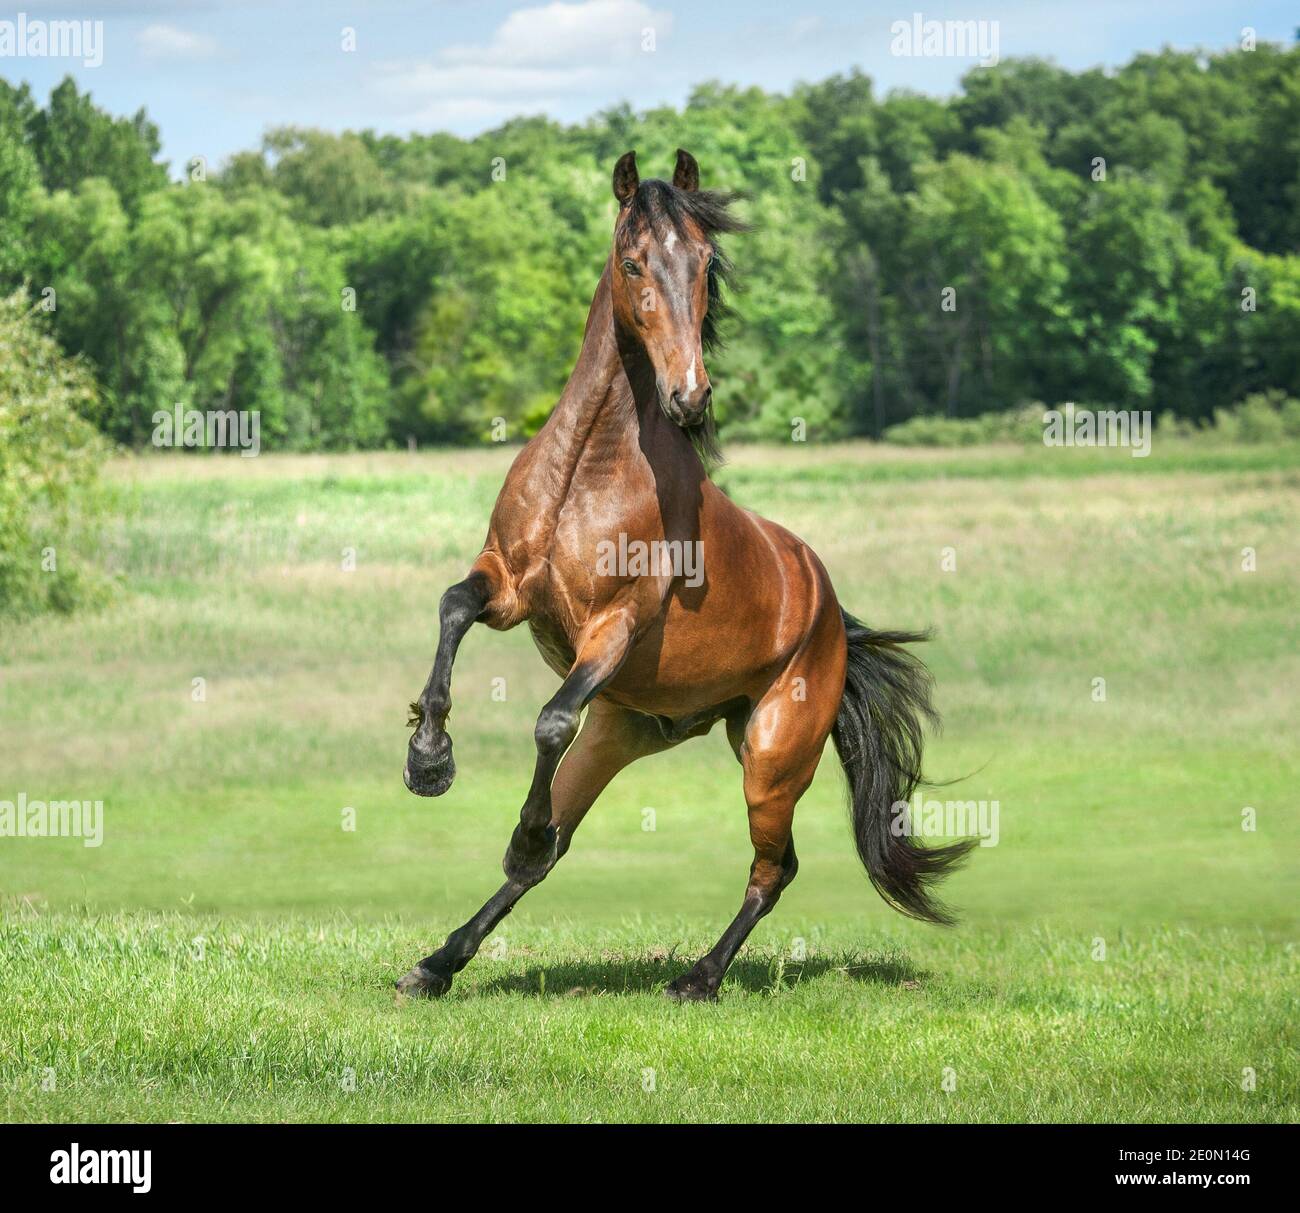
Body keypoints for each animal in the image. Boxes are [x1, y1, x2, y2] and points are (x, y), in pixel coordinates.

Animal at [397, 149, 974, 1001]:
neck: (588, 468)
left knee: (774, 866)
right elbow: (451, 609)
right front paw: (429, 759)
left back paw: (697, 976)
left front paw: (506, 815)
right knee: (561, 850)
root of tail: (831, 613)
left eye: (704, 262)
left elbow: (549, 720)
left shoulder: (613, 627)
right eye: (635, 259)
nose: (690, 393)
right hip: (628, 731)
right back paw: (436, 963)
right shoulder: (508, 583)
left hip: (770, 757)